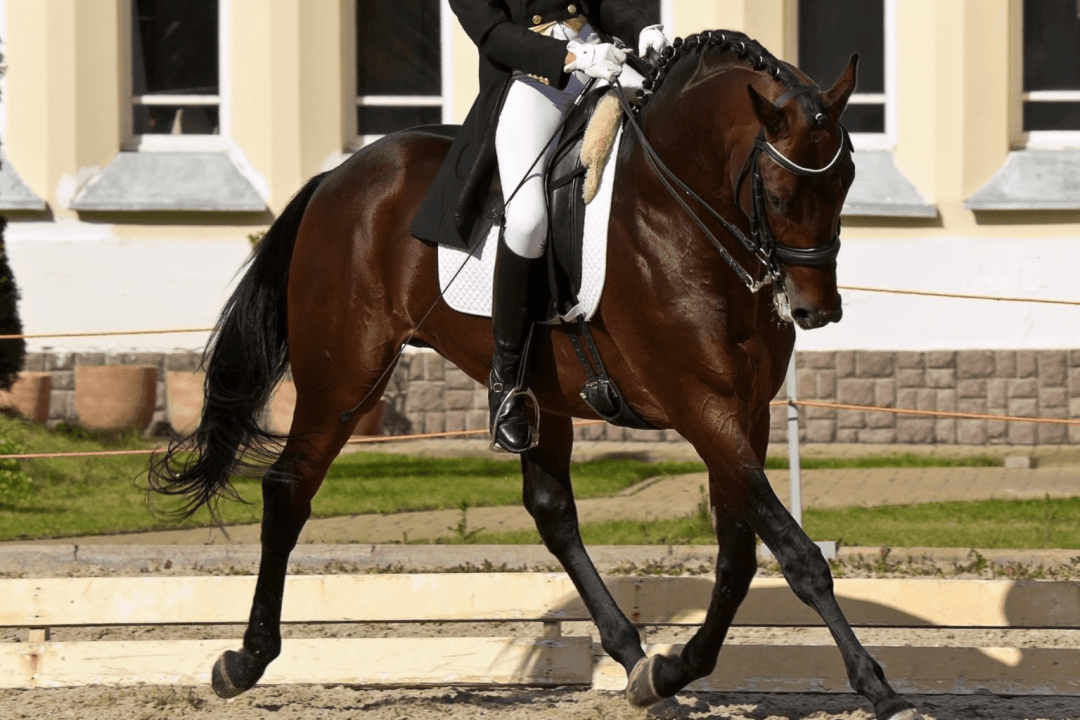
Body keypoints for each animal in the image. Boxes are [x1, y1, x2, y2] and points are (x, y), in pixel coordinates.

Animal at [149, 30, 923, 720]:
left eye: (849, 178)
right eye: (779, 190)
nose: (817, 310)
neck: (682, 212)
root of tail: (339, 178)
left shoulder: (746, 413)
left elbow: (737, 559)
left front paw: (670, 672)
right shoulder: (701, 407)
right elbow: (794, 552)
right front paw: (877, 687)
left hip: (537, 394)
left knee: (552, 512)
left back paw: (632, 656)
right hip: (342, 378)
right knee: (288, 490)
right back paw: (244, 661)